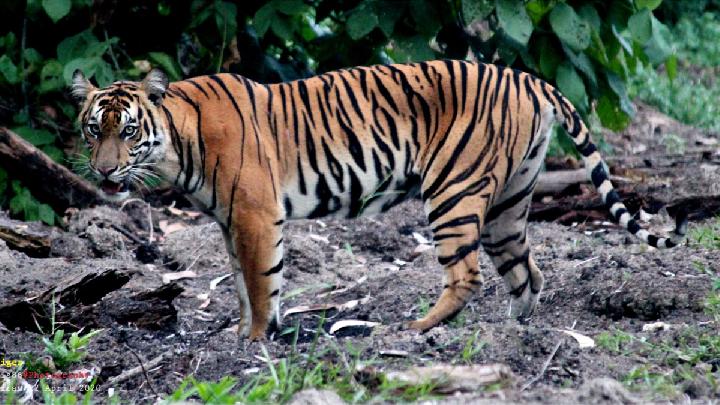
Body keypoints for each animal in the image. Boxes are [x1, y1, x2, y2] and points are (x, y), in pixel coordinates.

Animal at [71, 60, 687, 340]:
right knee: (526, 272)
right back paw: (514, 336)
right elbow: (243, 284)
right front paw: (242, 334)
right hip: (509, 204)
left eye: (128, 131)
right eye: (92, 130)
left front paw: (256, 341)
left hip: (454, 190)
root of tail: (526, 76)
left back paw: (415, 331)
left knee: (466, 275)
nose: (103, 172)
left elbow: (262, 282)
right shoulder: (228, 223)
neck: (177, 143)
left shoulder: (254, 215)